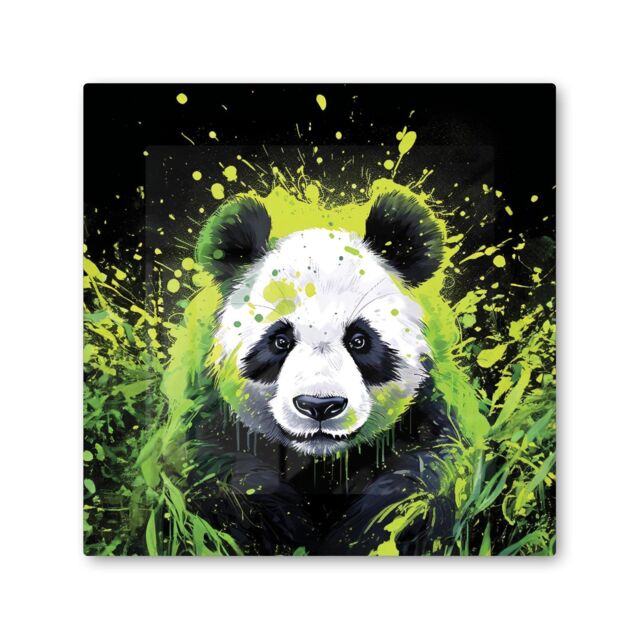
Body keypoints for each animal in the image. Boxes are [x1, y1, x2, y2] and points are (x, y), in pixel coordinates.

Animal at [175, 189, 458, 555]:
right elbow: (231, 483)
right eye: (280, 340)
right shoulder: (219, 428)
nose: (319, 406)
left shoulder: (420, 421)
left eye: (359, 340)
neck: (321, 462)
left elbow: (415, 483)